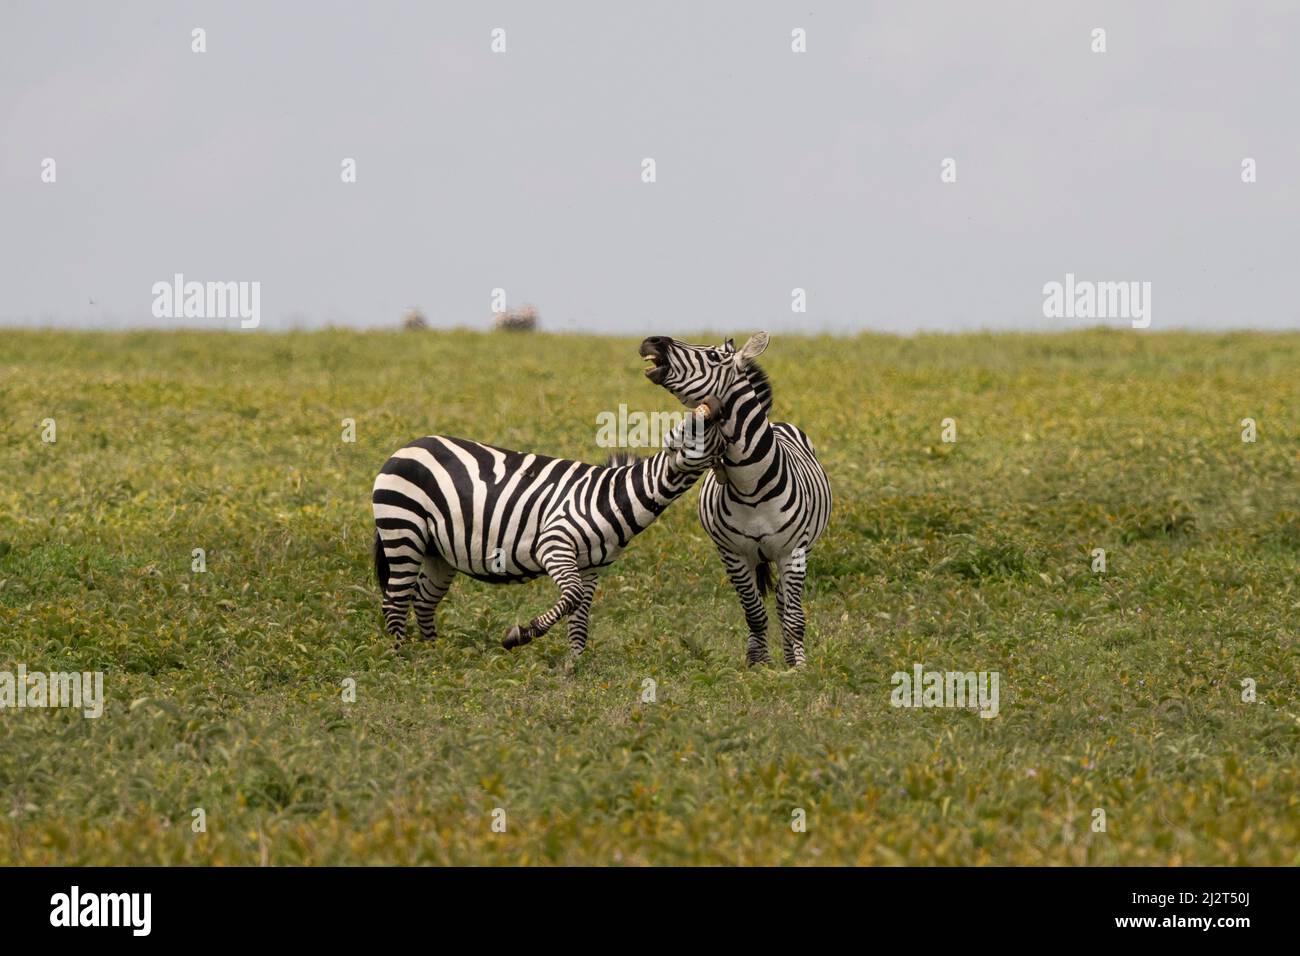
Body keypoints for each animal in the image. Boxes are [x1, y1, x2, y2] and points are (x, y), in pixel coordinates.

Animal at [371, 395, 722, 656]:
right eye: (688, 426)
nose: (712, 409)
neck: (610, 499)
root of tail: (410, 445)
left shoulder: (591, 567)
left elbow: (579, 617)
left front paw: (575, 670)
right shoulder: (554, 545)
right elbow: (572, 597)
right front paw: (518, 635)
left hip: (439, 551)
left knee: (423, 600)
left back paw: (434, 655)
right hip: (403, 529)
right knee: (395, 600)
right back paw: (401, 659)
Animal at [639, 332, 831, 667]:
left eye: (714, 357)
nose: (652, 340)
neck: (752, 487)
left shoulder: (793, 552)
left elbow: (794, 618)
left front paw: (799, 667)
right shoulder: (734, 555)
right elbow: (753, 614)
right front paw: (759, 665)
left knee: (782, 604)